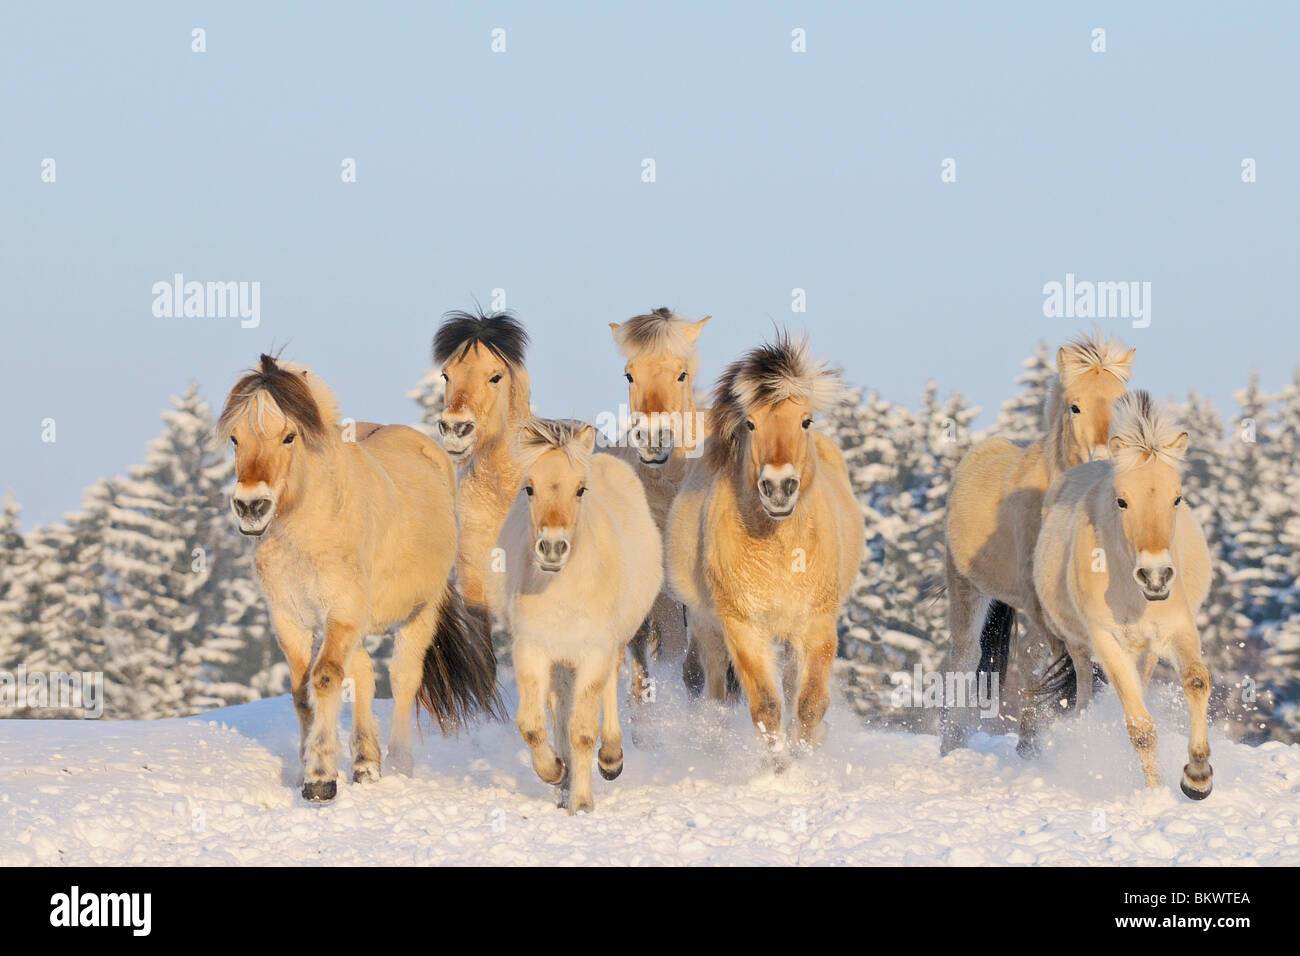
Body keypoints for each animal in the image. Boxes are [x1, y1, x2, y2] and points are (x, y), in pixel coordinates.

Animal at [216, 354, 502, 801]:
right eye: (235, 437)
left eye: (289, 437)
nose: (251, 506)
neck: (311, 525)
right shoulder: (290, 619)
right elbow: (302, 692)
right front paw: (306, 772)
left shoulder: (343, 611)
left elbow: (325, 679)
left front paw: (320, 777)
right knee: (366, 676)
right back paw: (367, 763)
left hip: (420, 611)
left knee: (403, 677)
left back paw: (399, 763)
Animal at [491, 419, 662, 813]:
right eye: (529, 488)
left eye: (580, 489)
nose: (553, 548)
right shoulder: (532, 651)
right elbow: (534, 725)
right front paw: (555, 771)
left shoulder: (594, 651)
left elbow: (583, 731)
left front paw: (582, 803)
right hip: (561, 664)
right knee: (558, 710)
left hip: (613, 646)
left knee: (609, 691)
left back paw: (611, 759)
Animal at [666, 332, 864, 758]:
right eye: (751, 423)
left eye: (805, 420)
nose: (778, 487)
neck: (780, 549)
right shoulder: (743, 626)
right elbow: (767, 706)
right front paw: (777, 765)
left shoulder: (816, 622)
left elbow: (809, 703)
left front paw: (805, 756)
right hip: (707, 625)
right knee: (714, 690)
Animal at [940, 331, 1134, 755]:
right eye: (1075, 406)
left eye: (1122, 403)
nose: (1102, 457)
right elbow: (1056, 660)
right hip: (968, 591)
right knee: (965, 656)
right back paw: (952, 744)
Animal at [1031, 391, 1213, 798]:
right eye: (1122, 501)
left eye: (1177, 498)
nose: (1156, 576)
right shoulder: (1106, 640)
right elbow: (1141, 729)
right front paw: (1156, 792)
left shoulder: (1179, 629)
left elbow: (1196, 681)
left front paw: (1197, 776)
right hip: (1079, 645)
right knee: (1085, 691)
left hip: (1147, 651)